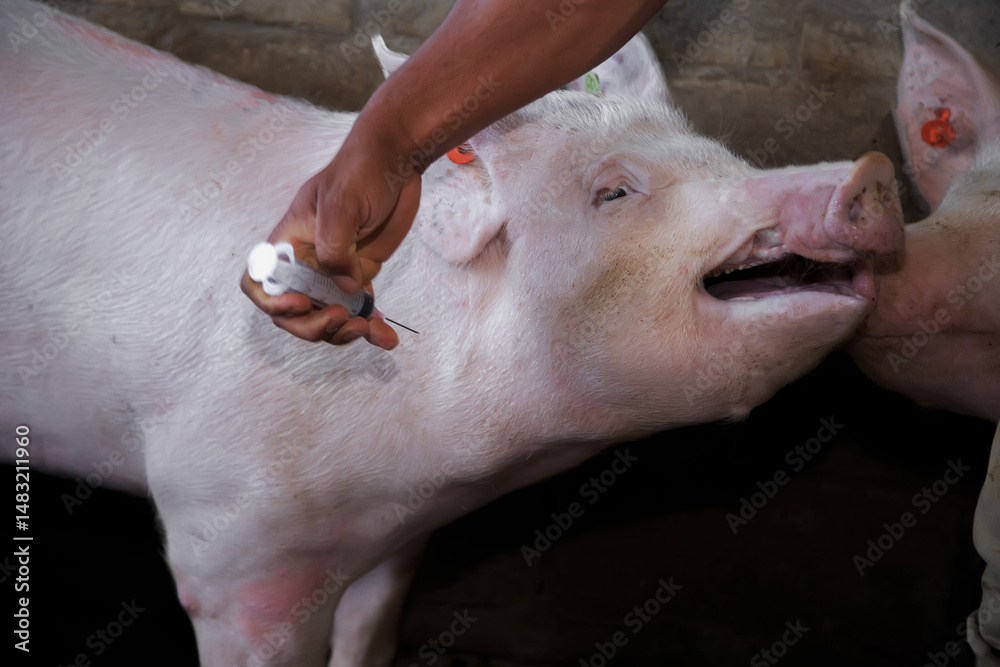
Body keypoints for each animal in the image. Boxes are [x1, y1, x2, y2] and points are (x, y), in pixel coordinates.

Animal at [0, 1, 903, 665]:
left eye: (725, 158)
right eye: (614, 191)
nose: (869, 170)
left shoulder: (400, 532)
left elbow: (369, 632)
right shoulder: (226, 543)